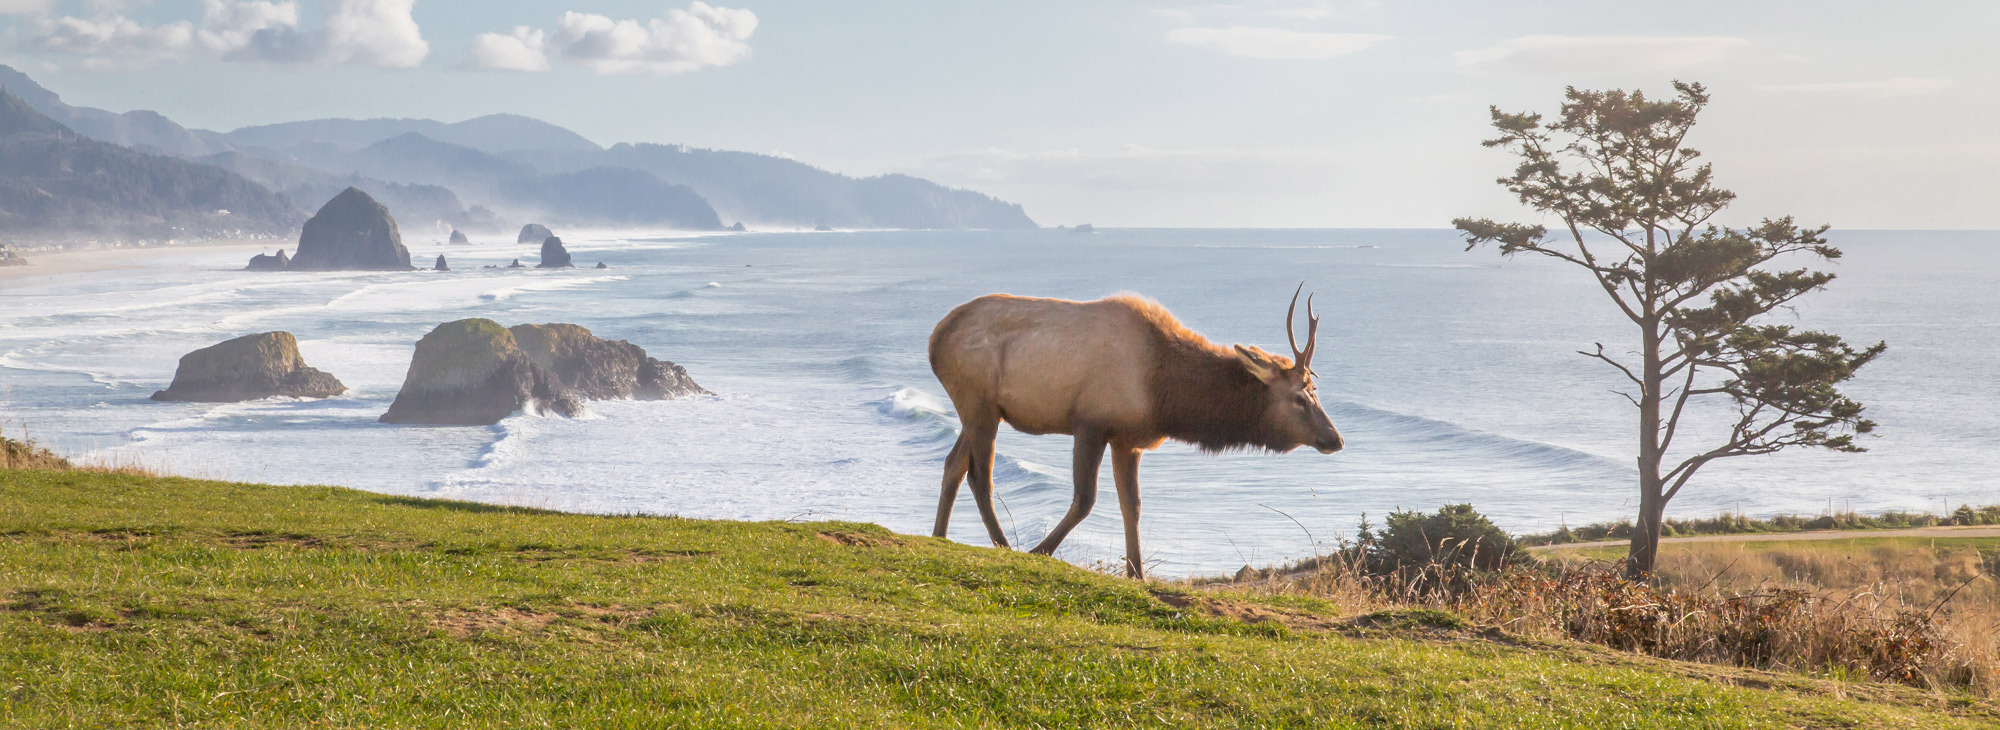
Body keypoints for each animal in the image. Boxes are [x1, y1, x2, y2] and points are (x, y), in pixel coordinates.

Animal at [927, 285, 1343, 579]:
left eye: (1315, 391)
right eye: (1299, 398)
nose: (1335, 439)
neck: (1164, 394)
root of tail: (935, 339)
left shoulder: (1128, 441)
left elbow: (1133, 505)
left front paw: (1137, 573)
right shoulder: (1090, 424)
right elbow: (1086, 499)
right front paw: (1039, 551)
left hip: (981, 411)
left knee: (953, 464)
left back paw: (939, 536)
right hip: (979, 403)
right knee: (980, 475)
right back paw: (1002, 544)